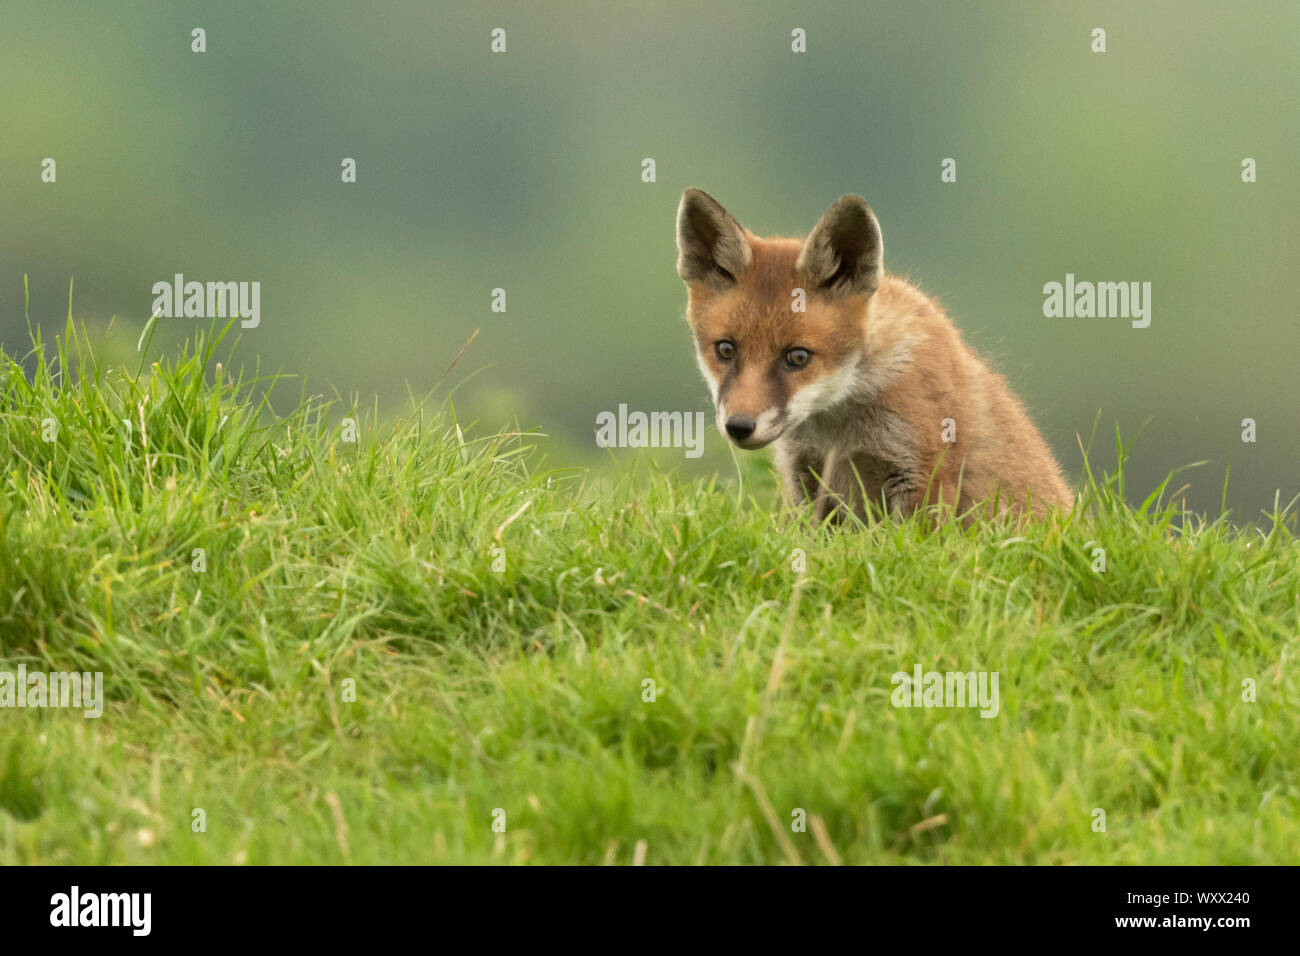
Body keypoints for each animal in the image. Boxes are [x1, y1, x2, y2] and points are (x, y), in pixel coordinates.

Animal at [674, 188, 1072, 523]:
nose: (739, 426)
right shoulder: (807, 476)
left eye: (798, 357)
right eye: (725, 350)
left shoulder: (923, 473)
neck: (840, 424)